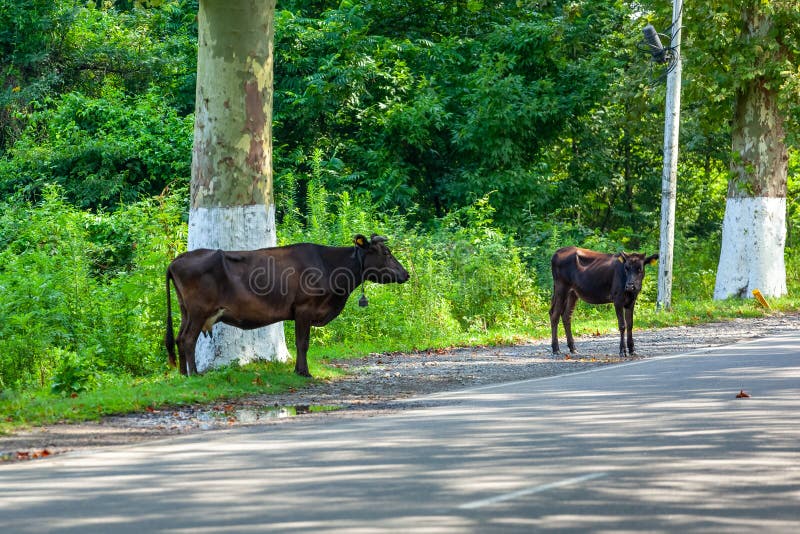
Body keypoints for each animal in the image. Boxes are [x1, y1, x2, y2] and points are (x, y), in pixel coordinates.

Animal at [165, 234, 410, 377]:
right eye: (386, 253)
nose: (405, 274)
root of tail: (177, 260)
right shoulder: (304, 309)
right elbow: (303, 343)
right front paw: (304, 373)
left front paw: (299, 370)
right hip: (199, 311)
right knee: (188, 339)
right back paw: (195, 374)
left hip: (186, 311)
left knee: (179, 338)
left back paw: (183, 375)